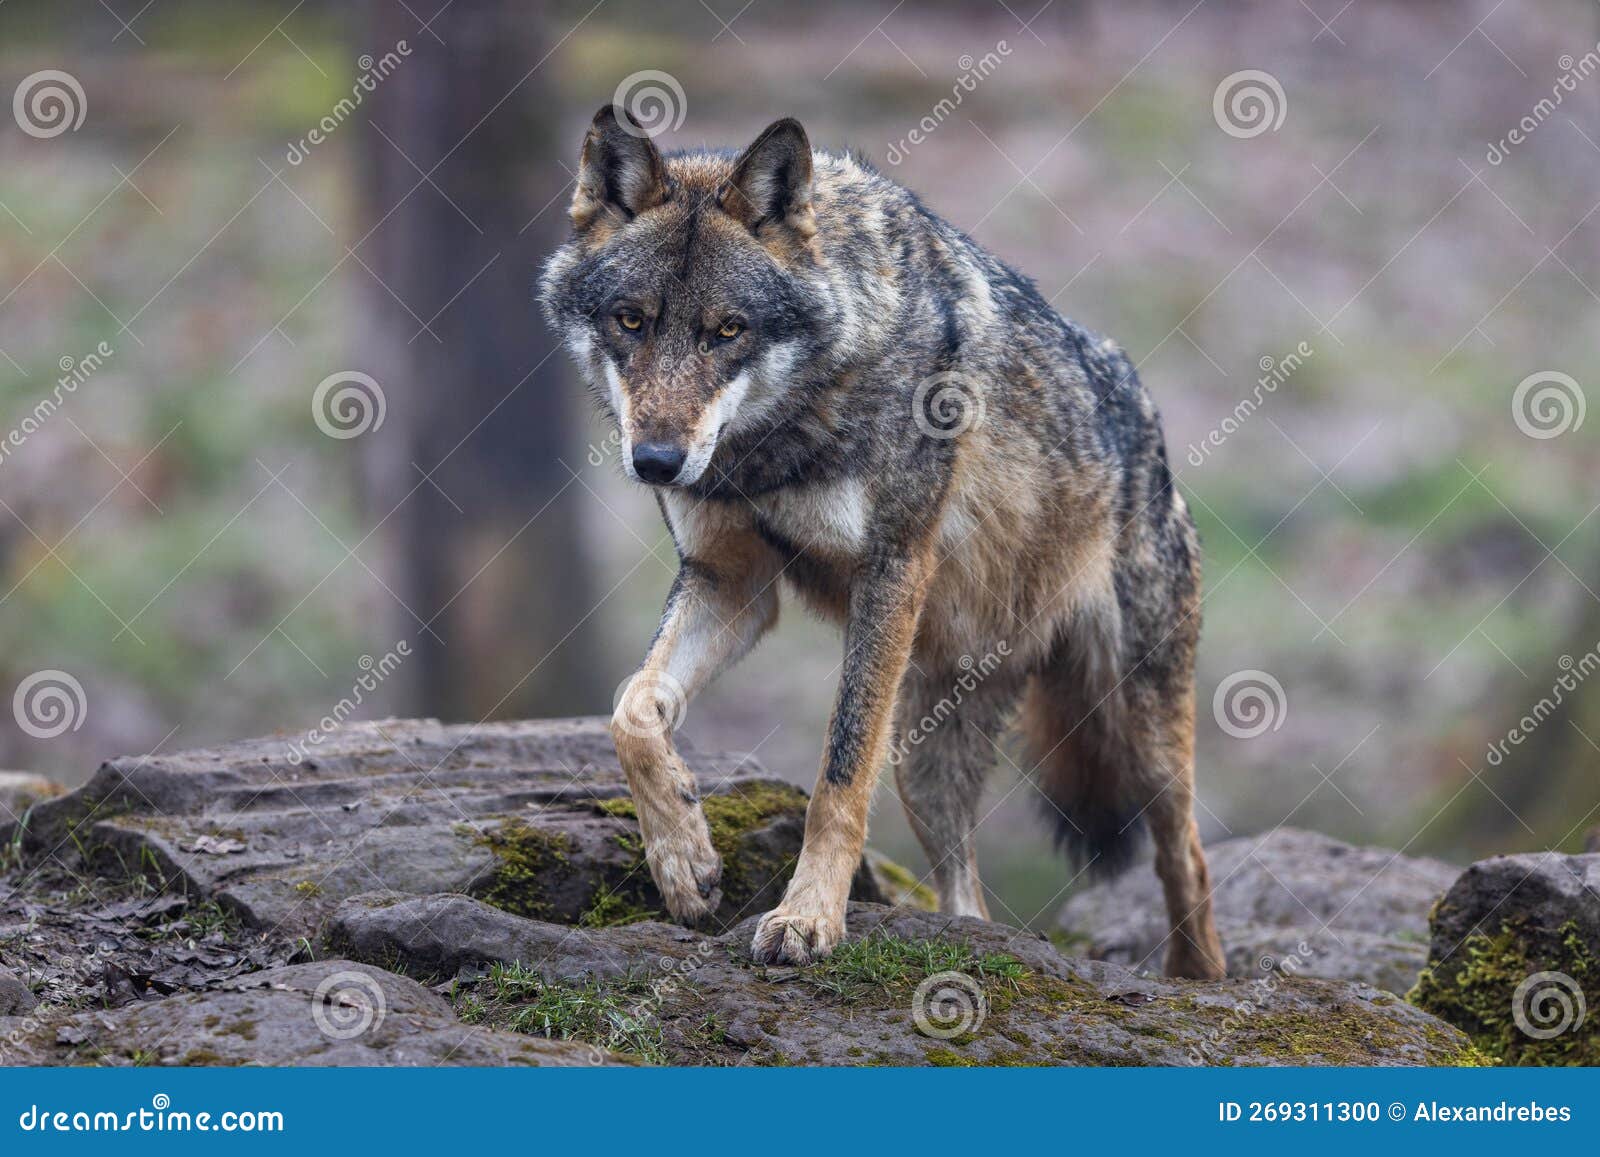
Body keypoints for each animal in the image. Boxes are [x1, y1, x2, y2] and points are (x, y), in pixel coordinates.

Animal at [539, 106, 1226, 977]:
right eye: (630, 320)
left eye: (727, 331)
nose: (656, 461)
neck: (778, 439)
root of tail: (1149, 420)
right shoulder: (730, 580)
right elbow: (630, 709)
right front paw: (683, 860)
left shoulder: (891, 570)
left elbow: (838, 774)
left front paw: (806, 917)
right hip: (924, 753)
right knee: (967, 894)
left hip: (1137, 727)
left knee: (1186, 855)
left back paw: (1198, 977)